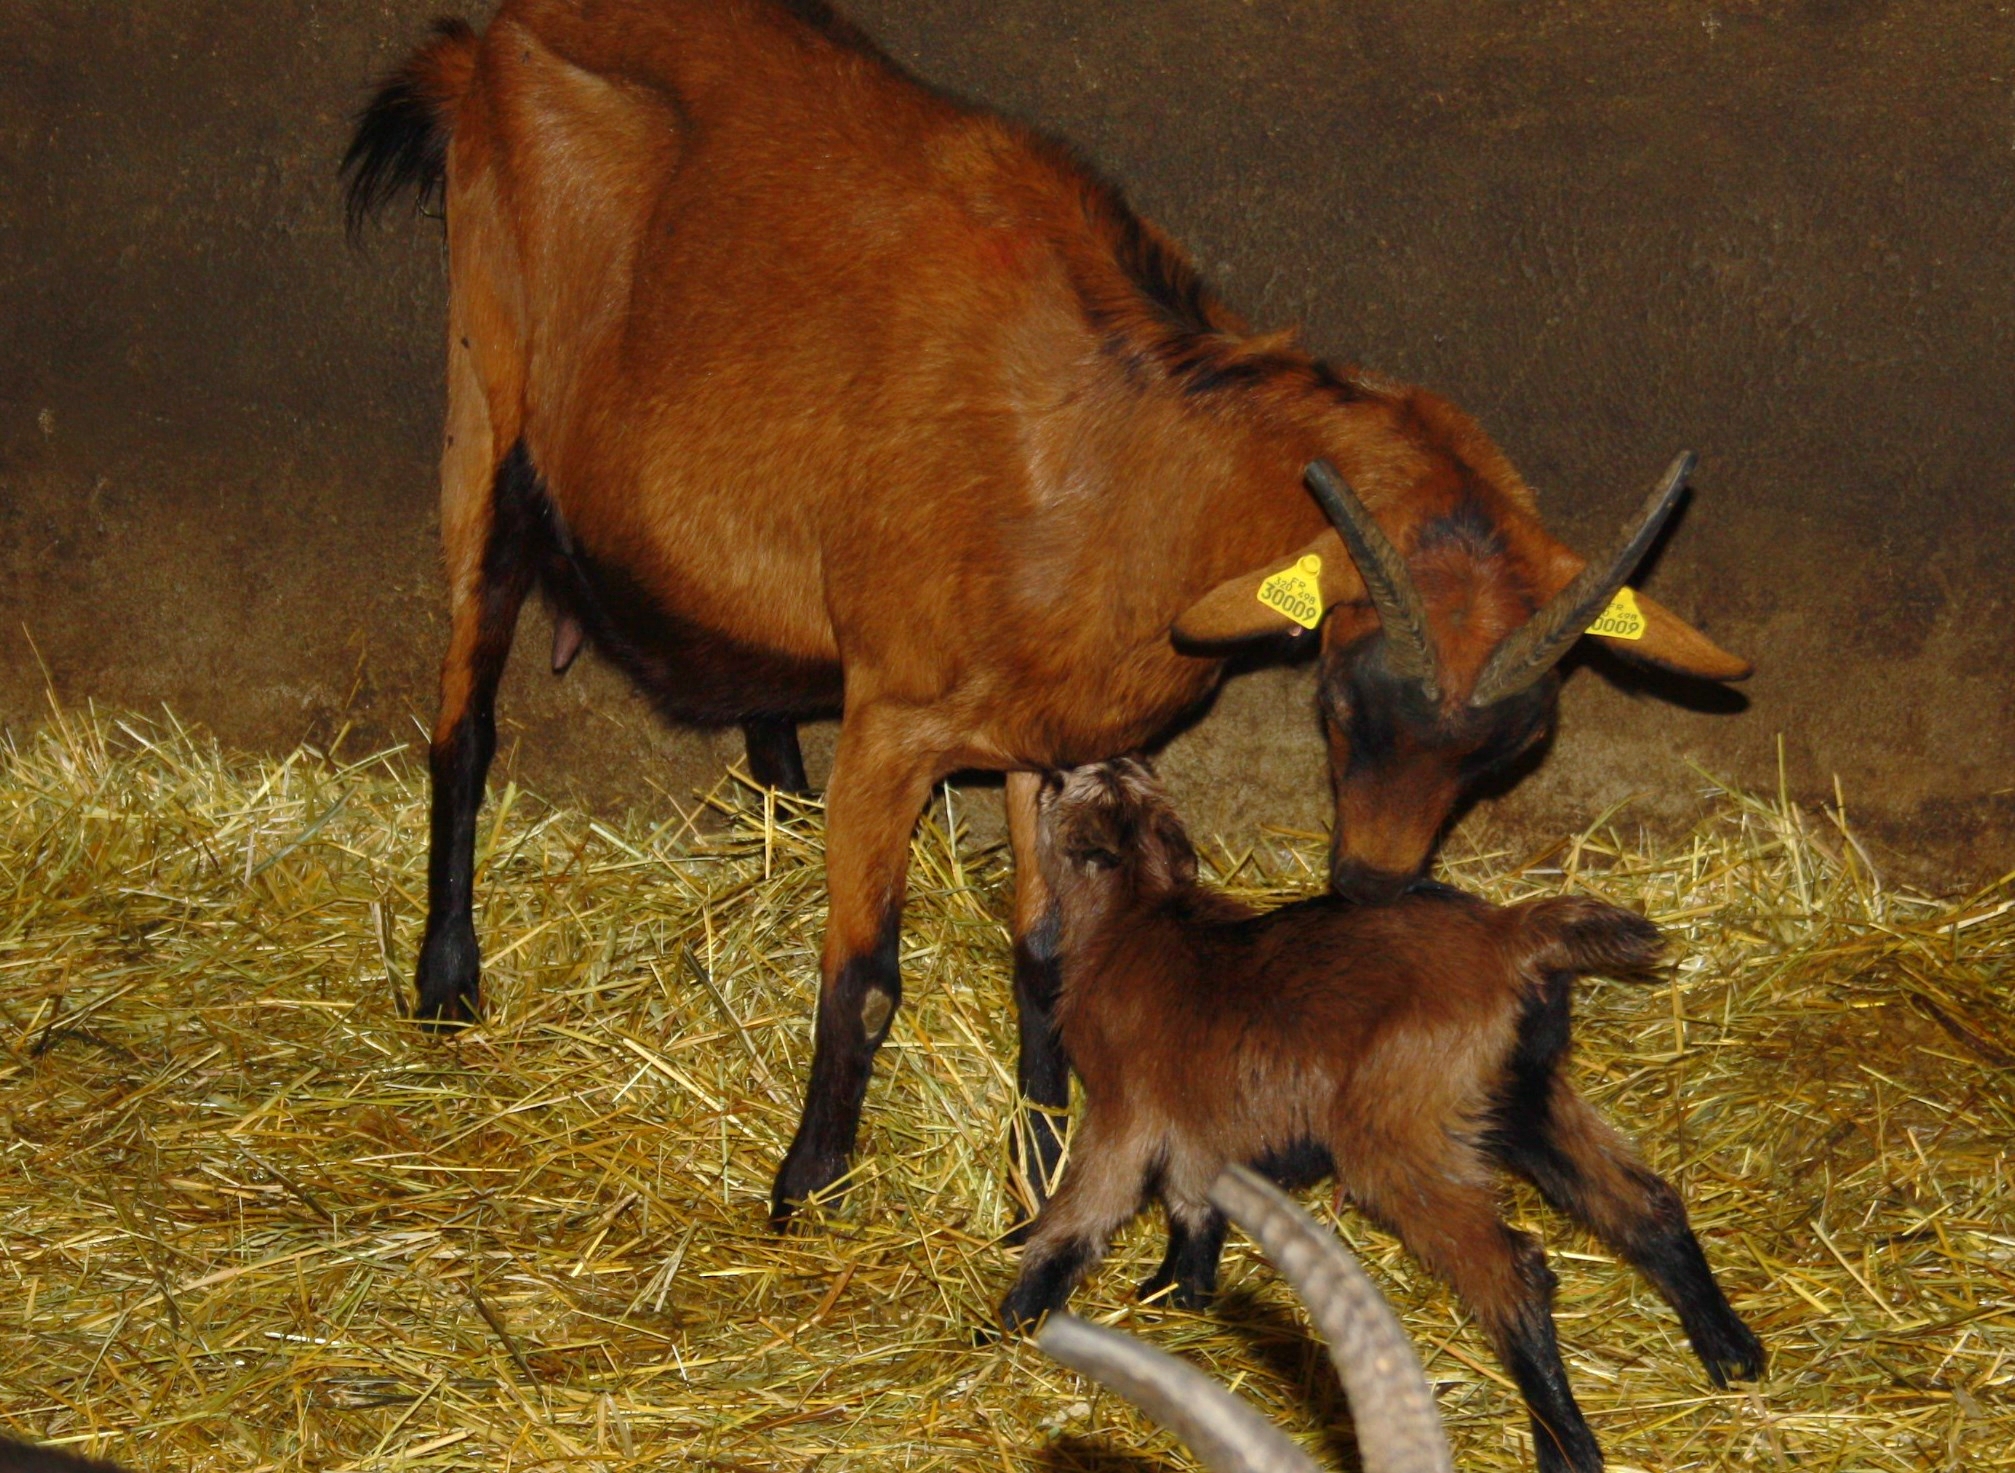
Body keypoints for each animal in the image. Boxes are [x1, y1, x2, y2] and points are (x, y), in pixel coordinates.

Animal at [342, 0, 1749, 1225]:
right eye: (1346, 706)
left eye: (1508, 748)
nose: (1367, 884)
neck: (1123, 452)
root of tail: (482, 44)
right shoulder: (895, 721)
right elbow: (863, 978)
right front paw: (809, 1187)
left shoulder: (1043, 729)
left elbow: (1047, 958)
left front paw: (1041, 1165)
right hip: (487, 392)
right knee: (466, 704)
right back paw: (448, 982)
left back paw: (768, 805)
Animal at [1003, 761, 1765, 1473]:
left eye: (1061, 785)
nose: (1047, 769)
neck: (1136, 919)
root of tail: (1507, 934)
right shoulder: (1197, 1121)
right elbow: (1193, 1205)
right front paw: (1173, 1293)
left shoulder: (1126, 1109)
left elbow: (1083, 1211)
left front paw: (1015, 1315)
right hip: (1524, 1098)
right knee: (1645, 1204)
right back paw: (1730, 1352)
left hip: (1400, 1130)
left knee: (1516, 1271)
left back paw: (1566, 1446)